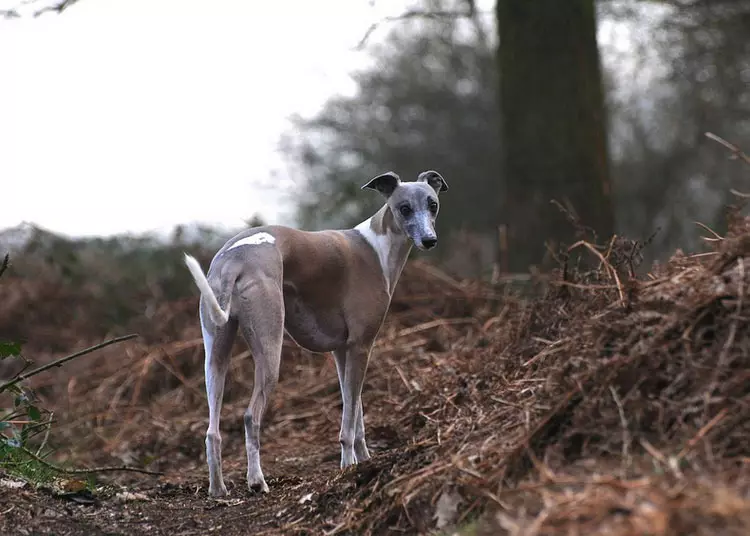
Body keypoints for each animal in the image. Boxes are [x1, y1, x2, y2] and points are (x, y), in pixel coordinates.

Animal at [184, 170, 450, 496]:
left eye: (433, 204)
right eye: (404, 208)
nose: (429, 240)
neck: (376, 246)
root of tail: (234, 259)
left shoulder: (343, 352)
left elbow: (355, 410)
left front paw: (364, 459)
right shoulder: (362, 346)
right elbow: (349, 422)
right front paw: (348, 466)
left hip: (215, 355)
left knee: (212, 431)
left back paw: (218, 489)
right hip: (270, 352)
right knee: (250, 417)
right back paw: (257, 480)